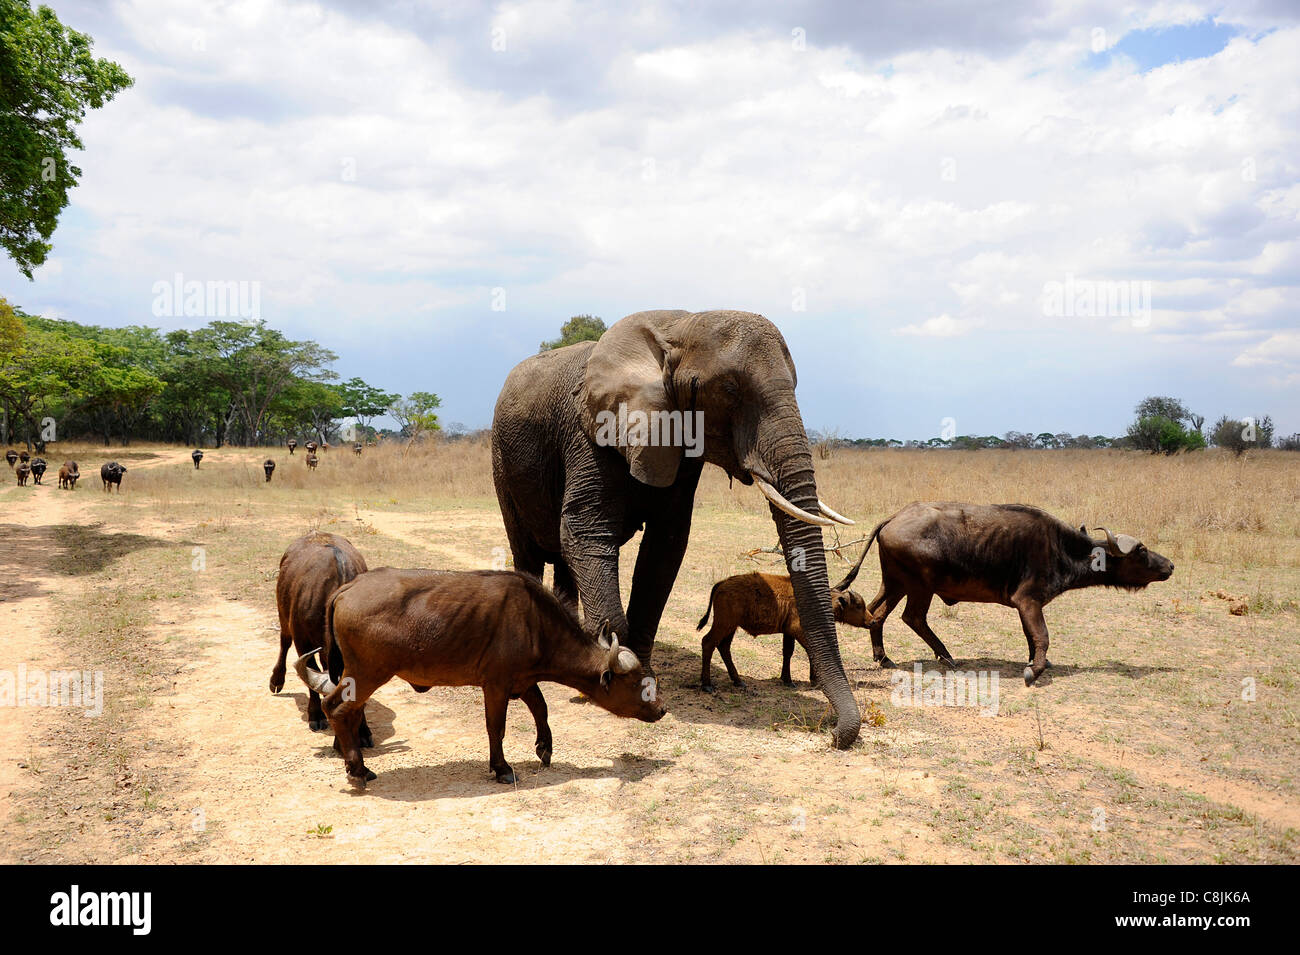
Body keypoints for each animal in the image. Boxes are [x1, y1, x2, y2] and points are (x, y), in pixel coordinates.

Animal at [491, 309, 862, 748]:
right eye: (731, 389)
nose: (835, 735)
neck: (677, 326)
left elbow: (666, 544)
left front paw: (641, 676)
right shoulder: (591, 434)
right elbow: (587, 531)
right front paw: (614, 677)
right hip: (503, 462)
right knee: (528, 553)